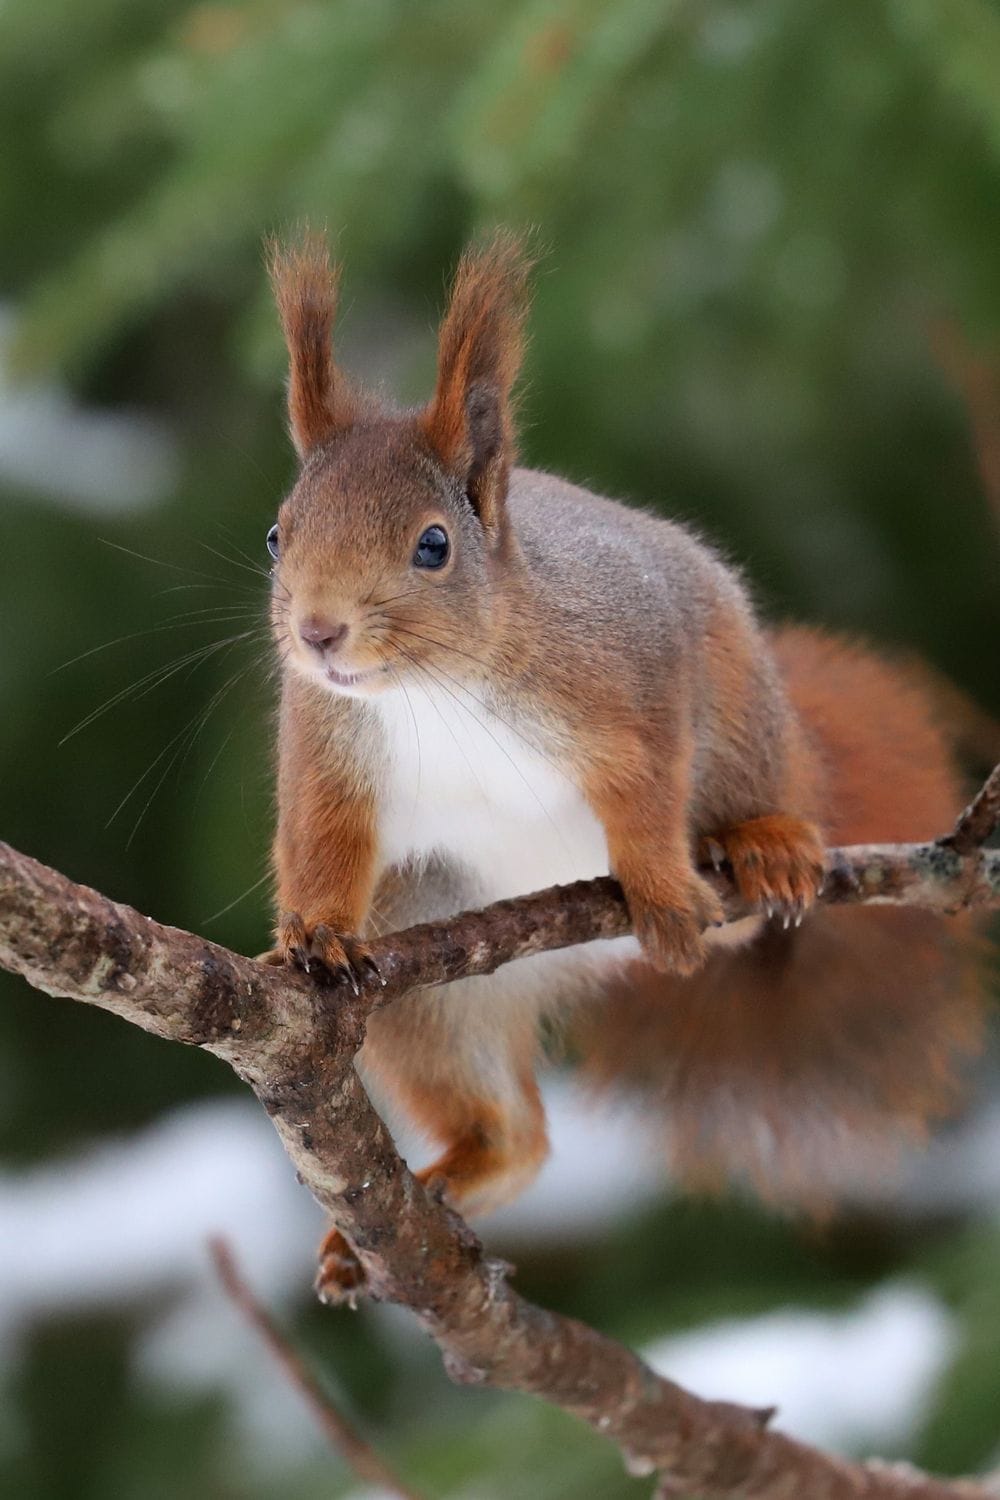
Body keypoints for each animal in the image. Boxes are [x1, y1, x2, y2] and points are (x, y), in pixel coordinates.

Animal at [262, 230, 992, 1297]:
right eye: (277, 534)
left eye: (433, 546)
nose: (318, 633)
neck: (434, 690)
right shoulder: (328, 743)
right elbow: (324, 837)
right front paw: (314, 934)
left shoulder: (632, 695)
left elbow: (645, 797)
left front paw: (658, 889)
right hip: (429, 974)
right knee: (513, 1135)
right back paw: (416, 1204)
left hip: (744, 723)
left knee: (746, 876)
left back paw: (767, 847)